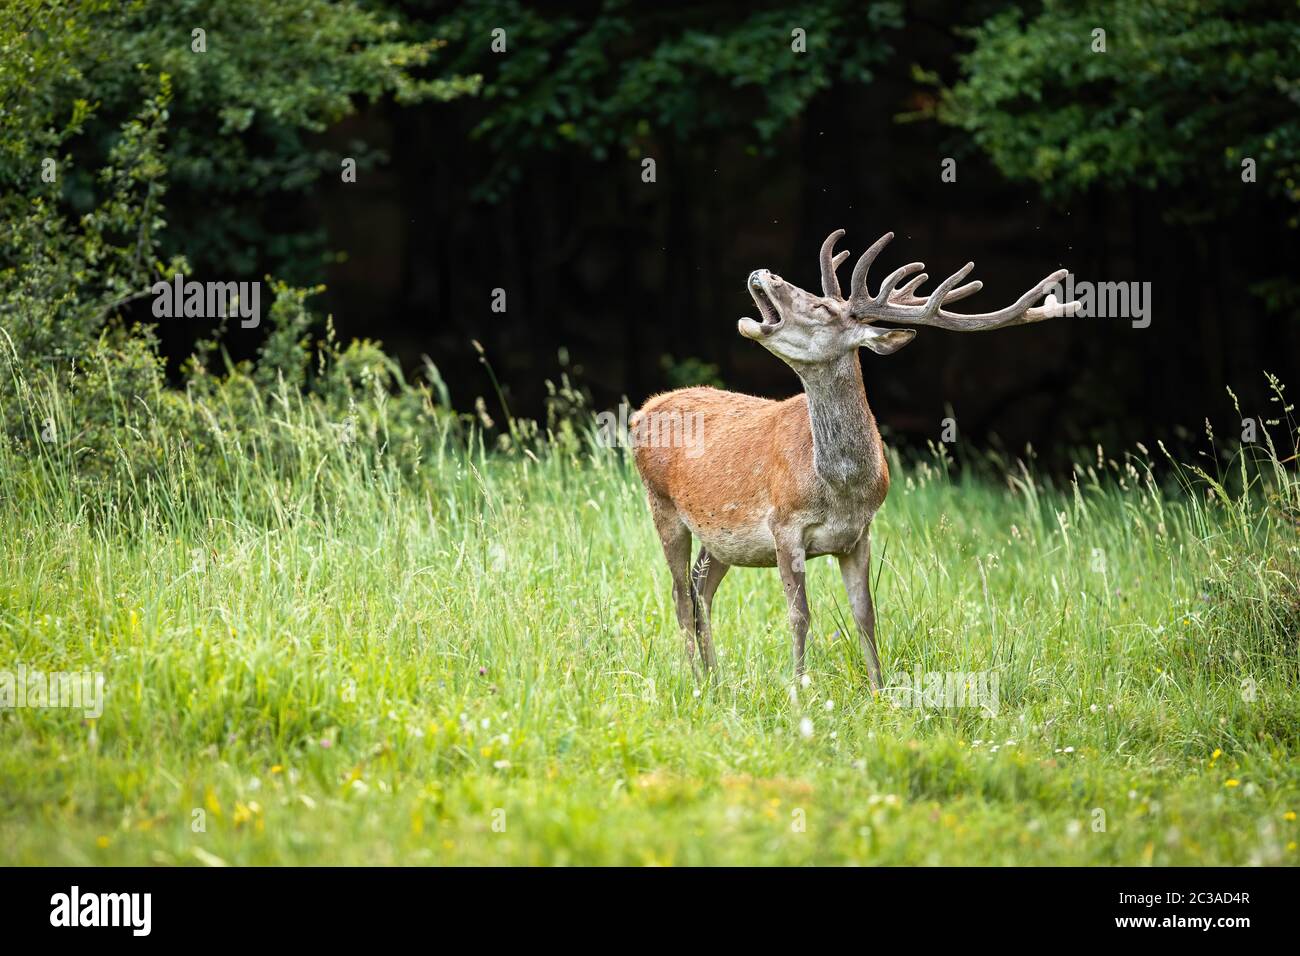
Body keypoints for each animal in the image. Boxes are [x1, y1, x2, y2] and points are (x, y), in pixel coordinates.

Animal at [631, 228, 1079, 690]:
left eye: (823, 306)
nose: (764, 272)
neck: (841, 487)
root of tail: (643, 410)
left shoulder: (858, 534)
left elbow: (866, 615)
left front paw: (879, 690)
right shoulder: (783, 525)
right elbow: (800, 615)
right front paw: (799, 687)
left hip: (719, 538)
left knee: (700, 588)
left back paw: (715, 678)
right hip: (661, 504)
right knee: (680, 594)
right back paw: (695, 679)